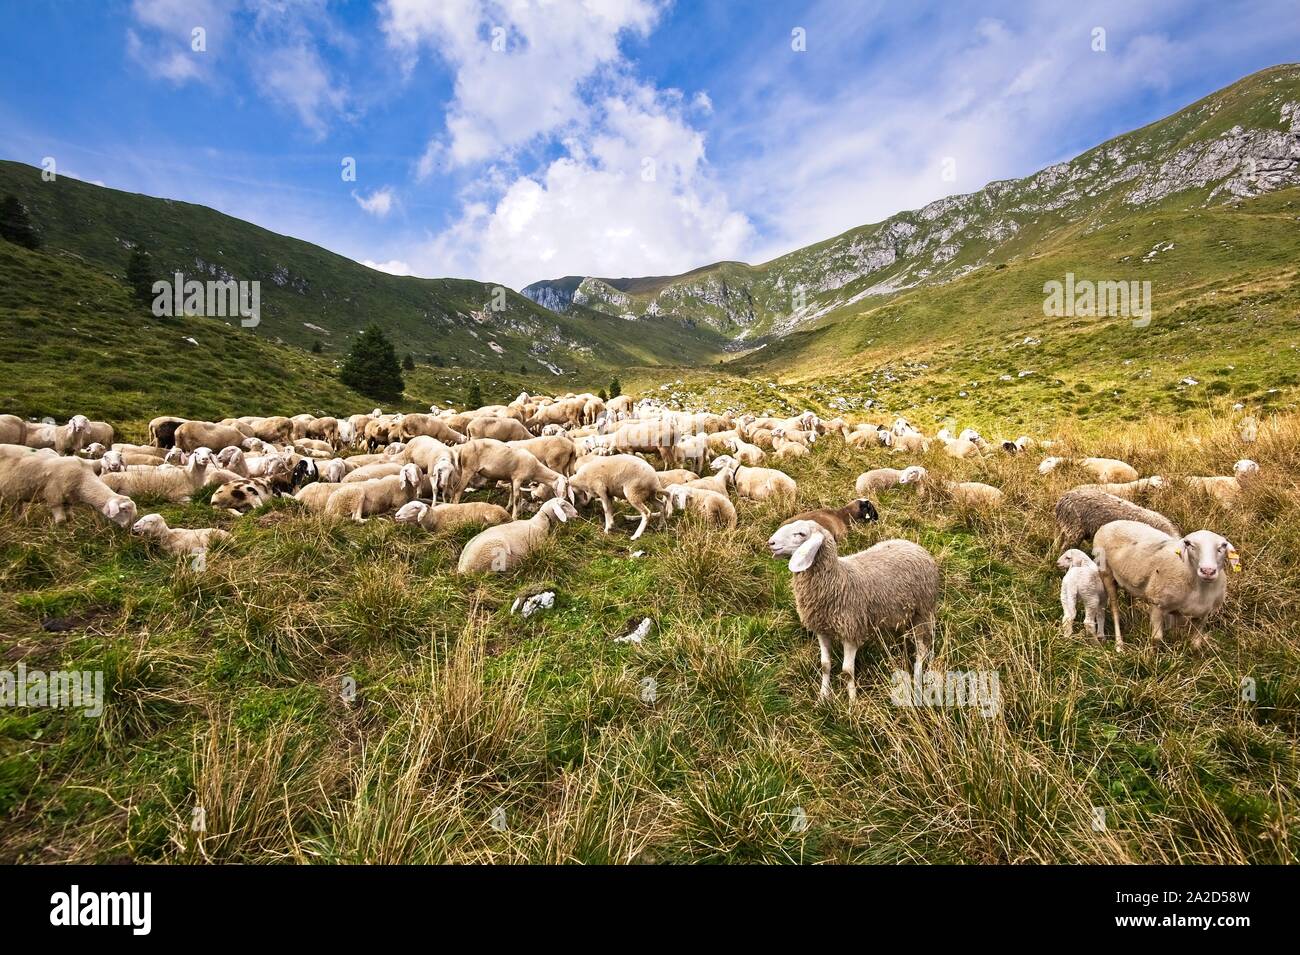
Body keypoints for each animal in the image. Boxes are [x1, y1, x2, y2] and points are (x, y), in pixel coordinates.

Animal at [0, 453, 137, 527]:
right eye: (124, 510)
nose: (129, 526)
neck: (83, 479)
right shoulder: (54, 497)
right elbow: (61, 520)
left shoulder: (69, 499)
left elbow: (70, 516)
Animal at [768, 520, 940, 700]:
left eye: (801, 534)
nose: (770, 542)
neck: (837, 579)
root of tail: (915, 546)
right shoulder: (821, 629)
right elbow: (825, 665)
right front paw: (823, 697)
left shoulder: (851, 632)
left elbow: (847, 671)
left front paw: (852, 701)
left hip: (923, 611)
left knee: (922, 649)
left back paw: (919, 678)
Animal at [1092, 521, 1238, 651]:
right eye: (1188, 543)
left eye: (1223, 545)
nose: (1208, 571)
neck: (1200, 590)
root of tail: (1109, 524)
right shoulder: (1157, 604)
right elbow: (1157, 639)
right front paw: (1152, 659)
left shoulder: (1203, 615)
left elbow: (1195, 644)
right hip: (1106, 573)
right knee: (1114, 609)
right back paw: (1119, 644)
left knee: (1130, 597)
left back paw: (1133, 623)